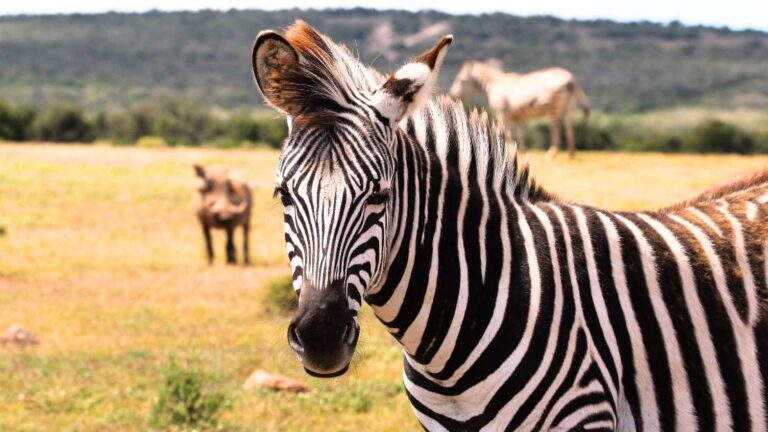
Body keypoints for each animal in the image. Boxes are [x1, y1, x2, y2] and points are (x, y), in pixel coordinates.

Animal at [449, 60, 590, 159]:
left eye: (461, 80)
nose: (451, 95)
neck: (493, 85)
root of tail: (570, 79)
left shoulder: (502, 113)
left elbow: (506, 132)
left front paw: (507, 152)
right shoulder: (516, 116)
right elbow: (518, 134)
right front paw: (520, 152)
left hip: (552, 107)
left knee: (556, 130)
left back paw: (552, 154)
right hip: (569, 108)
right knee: (569, 128)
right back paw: (571, 155)